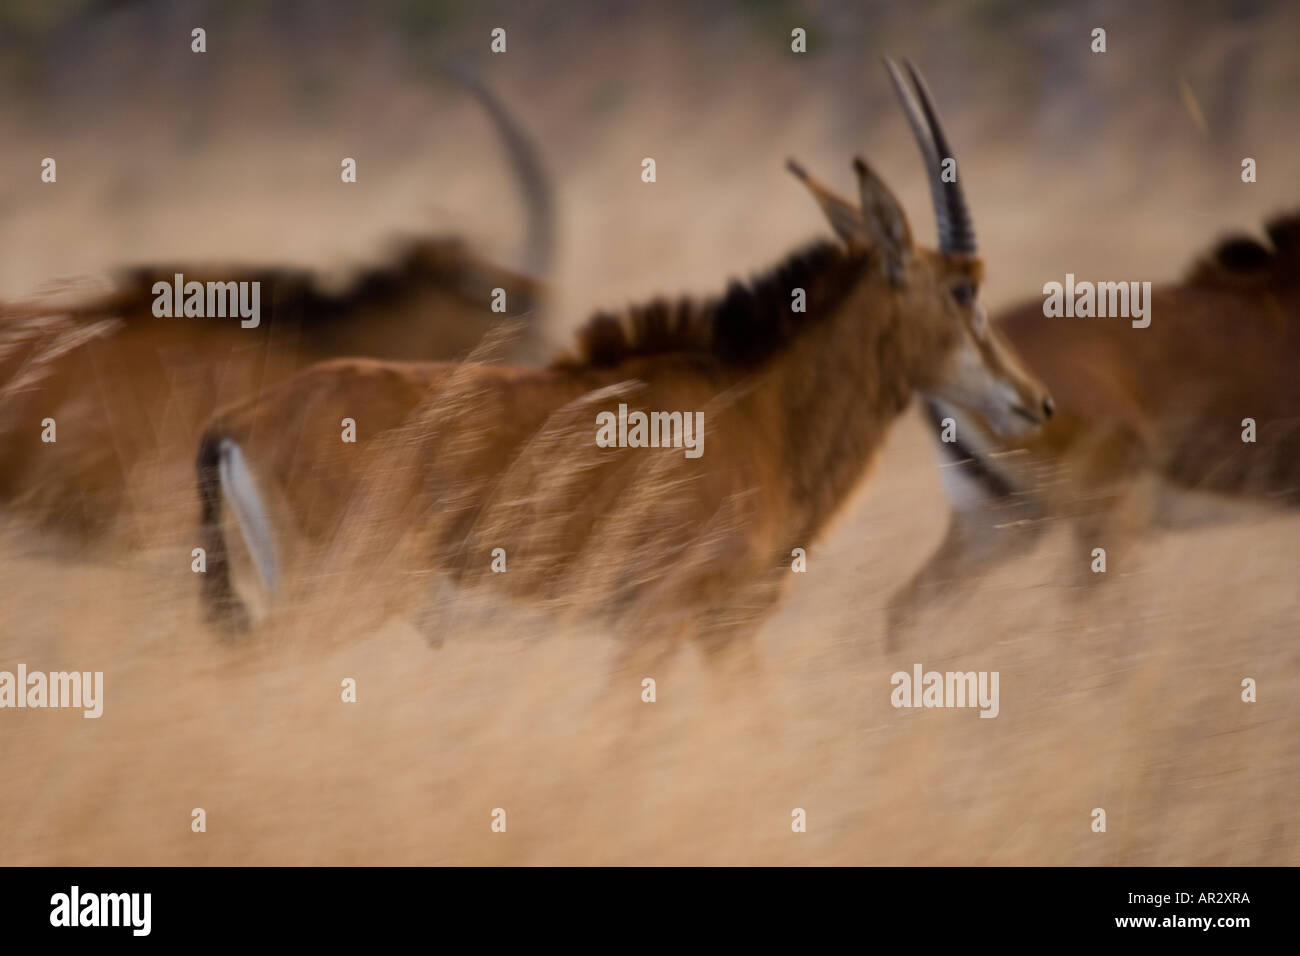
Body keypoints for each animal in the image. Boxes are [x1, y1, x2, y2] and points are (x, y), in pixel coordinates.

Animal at [196, 60, 1053, 640]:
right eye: (964, 290)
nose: (1036, 401)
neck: (757, 405)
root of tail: (239, 421)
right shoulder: (665, 623)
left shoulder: (716, 633)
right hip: (338, 601)